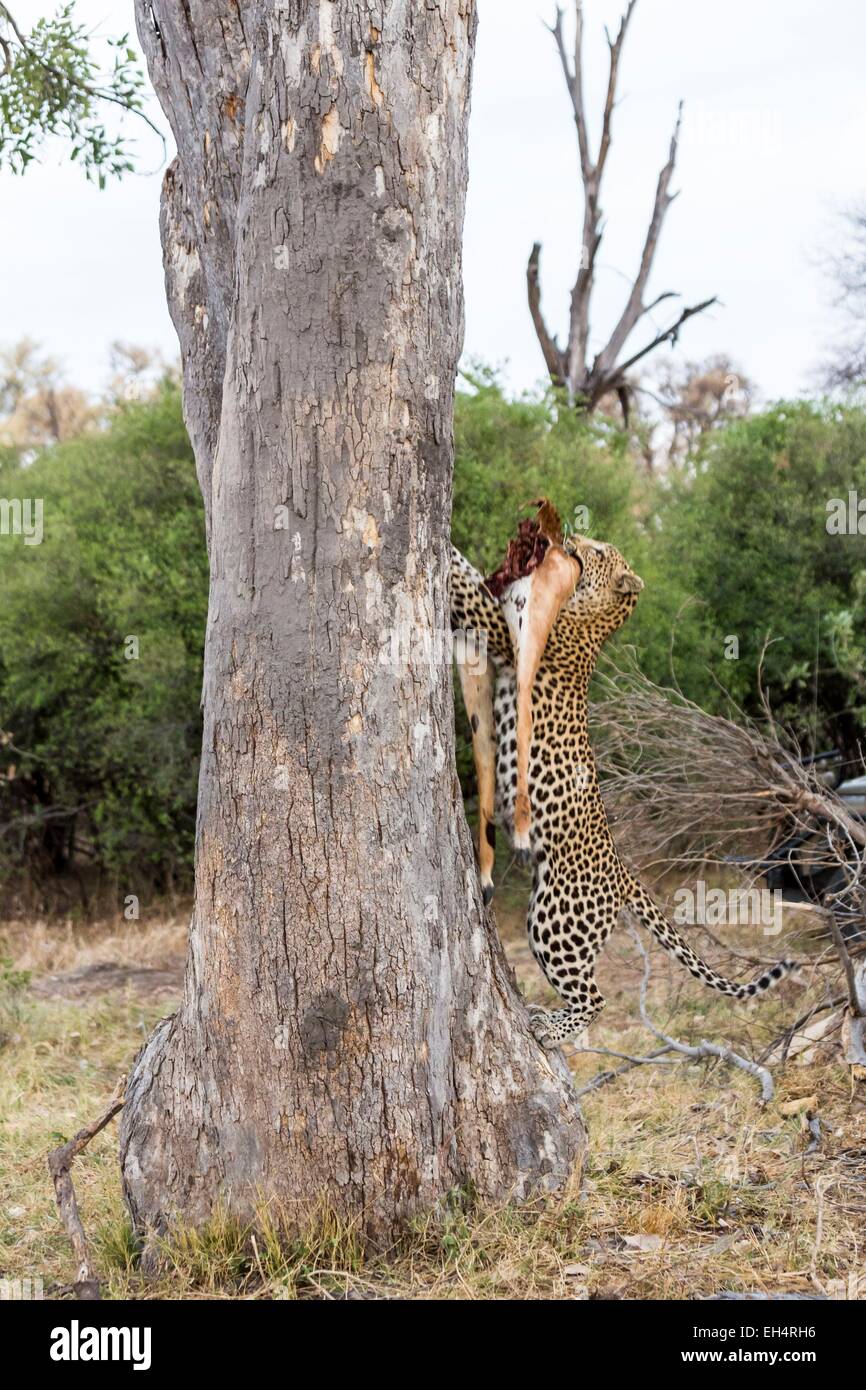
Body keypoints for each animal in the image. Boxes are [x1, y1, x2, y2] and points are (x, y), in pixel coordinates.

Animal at [450, 535, 794, 1048]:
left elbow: (470, 590)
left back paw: (551, 1029)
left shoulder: (506, 635)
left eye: (596, 552)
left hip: (557, 918)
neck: (591, 616)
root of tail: (622, 873)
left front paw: (450, 554)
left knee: (596, 998)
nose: (571, 539)